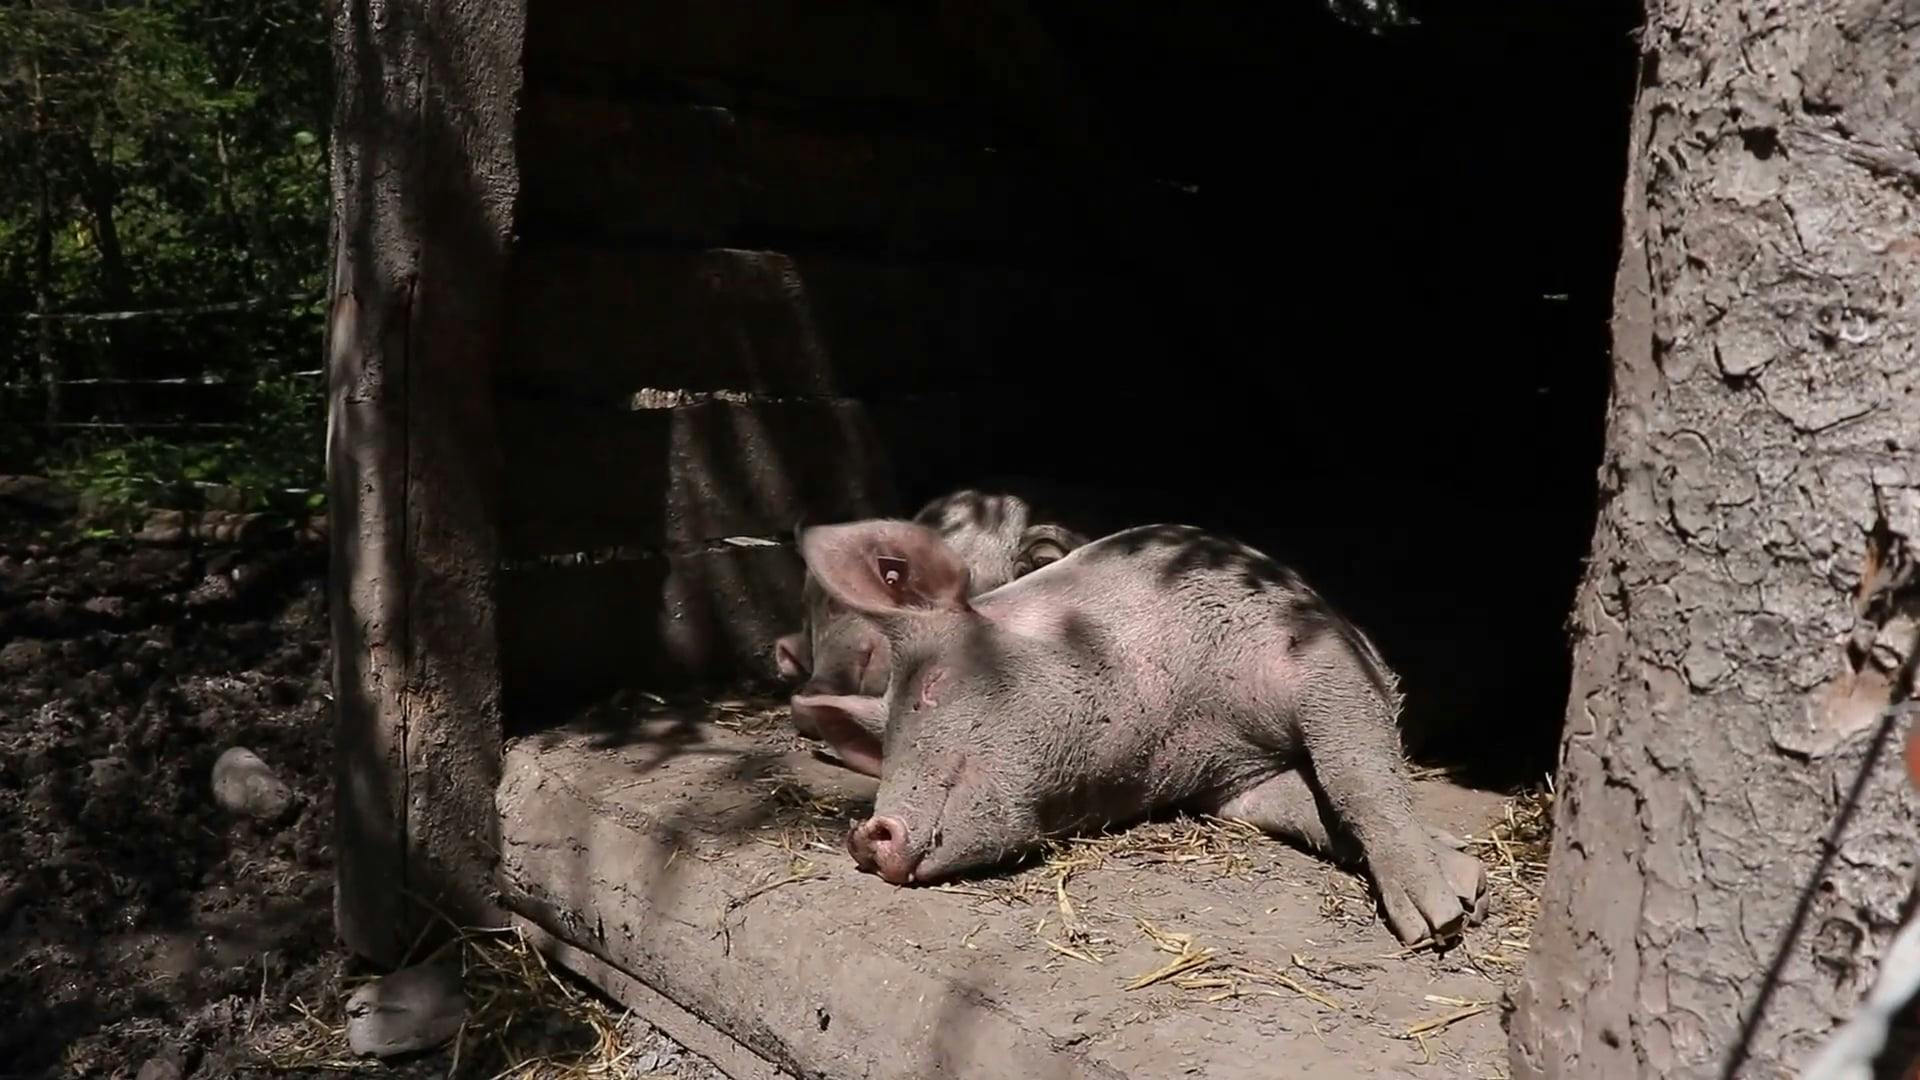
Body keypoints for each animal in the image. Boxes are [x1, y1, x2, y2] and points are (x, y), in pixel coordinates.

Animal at [788, 518, 1489, 946]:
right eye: (885, 743)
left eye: (932, 687)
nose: (865, 837)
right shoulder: (1232, 784)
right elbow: (1308, 808)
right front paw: (1465, 884)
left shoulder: (1313, 653)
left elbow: (1351, 775)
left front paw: (1439, 920)